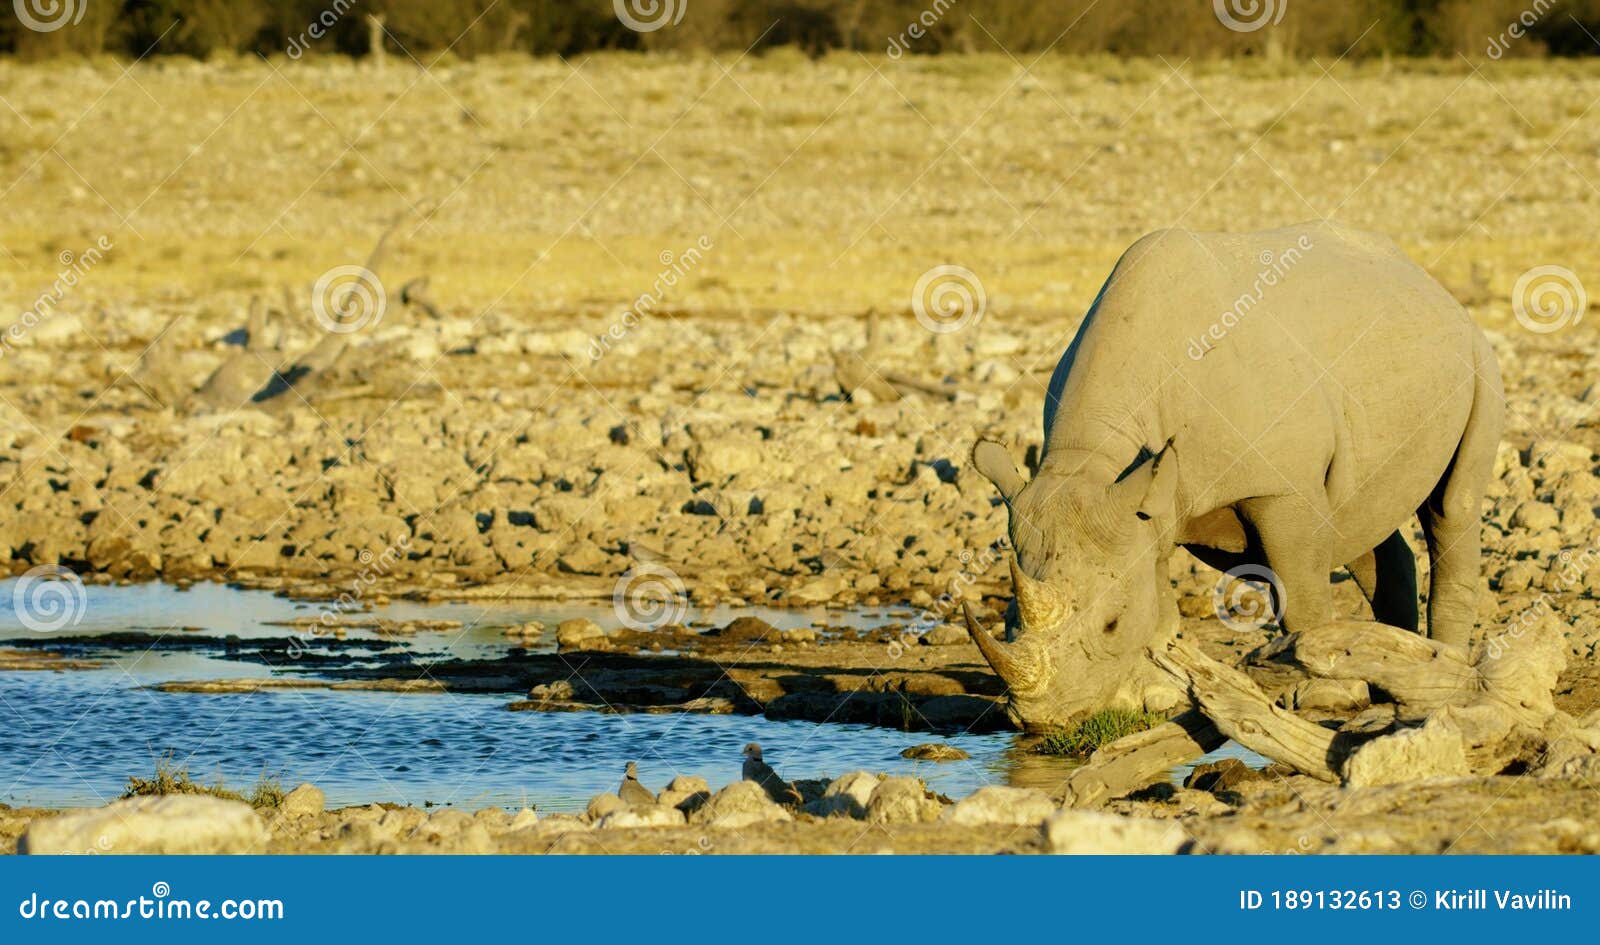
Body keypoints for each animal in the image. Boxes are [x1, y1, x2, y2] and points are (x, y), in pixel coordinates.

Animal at [965, 221, 1504, 731]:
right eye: (1008, 621)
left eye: (1111, 625)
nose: (1041, 721)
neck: (1093, 455)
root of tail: (1432, 286)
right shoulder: (1143, 502)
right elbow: (1157, 593)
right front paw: (1156, 693)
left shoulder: (1278, 487)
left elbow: (1299, 589)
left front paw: (1326, 697)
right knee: (1363, 519)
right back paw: (1394, 664)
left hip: (1477, 357)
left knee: (1450, 507)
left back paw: (1439, 670)